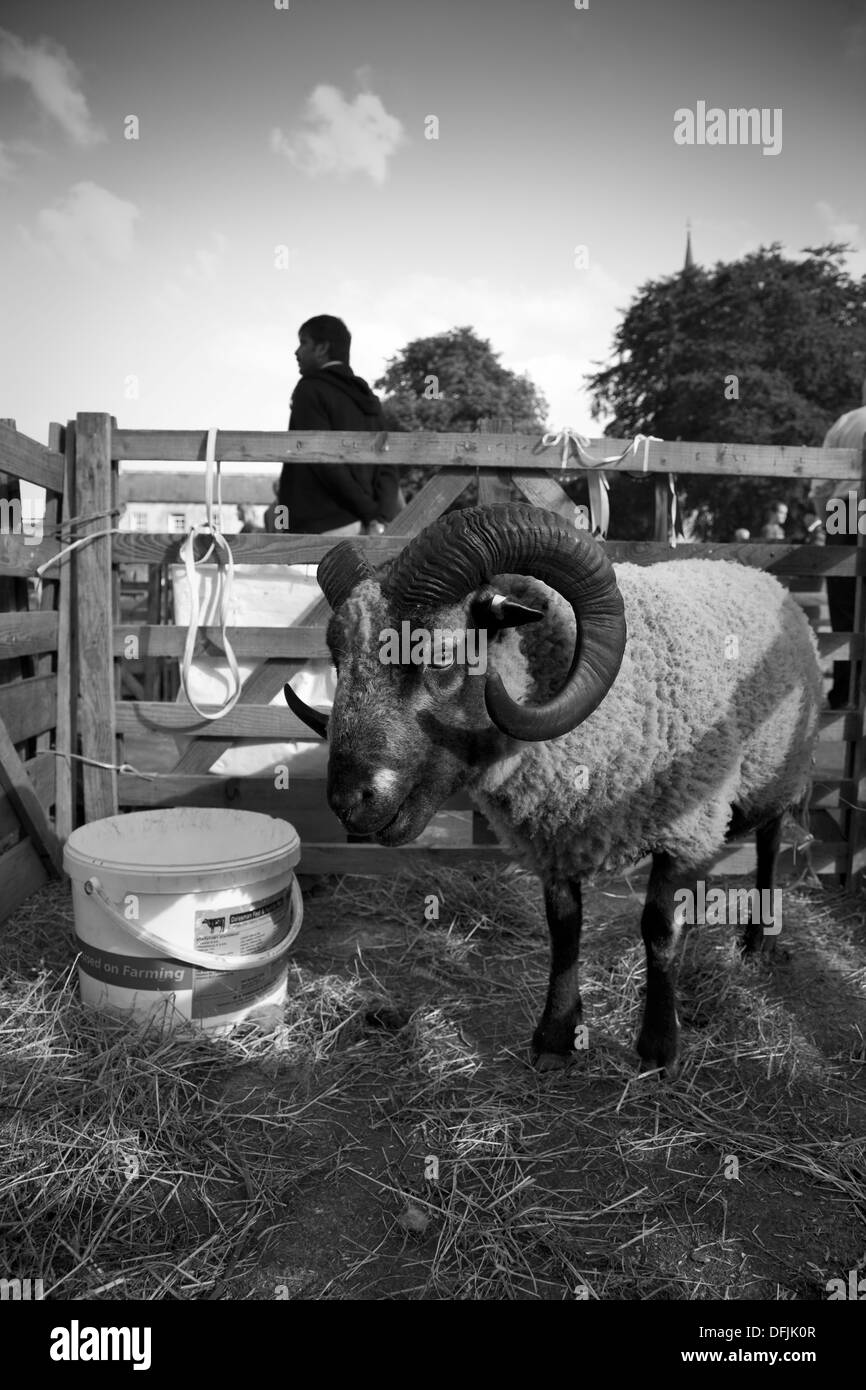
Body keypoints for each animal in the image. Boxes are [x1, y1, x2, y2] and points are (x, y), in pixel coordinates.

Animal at [285, 503, 822, 1074]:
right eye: (337, 663)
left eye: (443, 655)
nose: (349, 802)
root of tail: (754, 572)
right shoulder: (556, 838)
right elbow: (563, 930)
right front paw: (555, 1036)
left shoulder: (685, 826)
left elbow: (658, 930)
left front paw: (659, 1046)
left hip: (778, 773)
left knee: (768, 845)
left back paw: (758, 941)